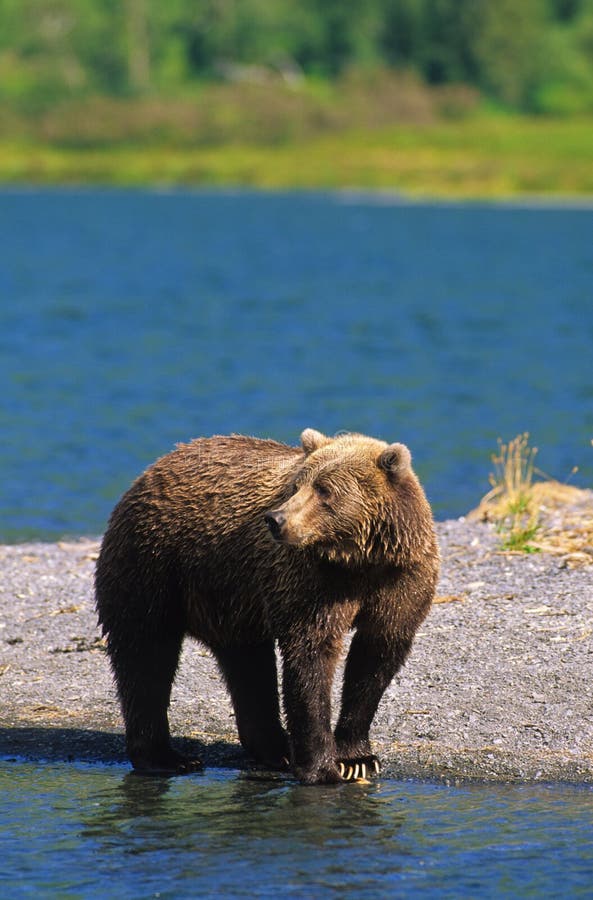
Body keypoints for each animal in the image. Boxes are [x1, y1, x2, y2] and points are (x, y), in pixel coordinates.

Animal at [95, 429, 439, 785]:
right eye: (298, 484)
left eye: (324, 489)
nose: (276, 519)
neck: (358, 561)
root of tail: (152, 469)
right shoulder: (310, 581)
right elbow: (310, 657)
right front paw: (322, 767)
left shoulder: (400, 581)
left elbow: (374, 661)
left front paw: (357, 758)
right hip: (155, 565)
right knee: (147, 655)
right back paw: (168, 757)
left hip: (230, 597)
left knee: (247, 665)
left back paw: (276, 749)